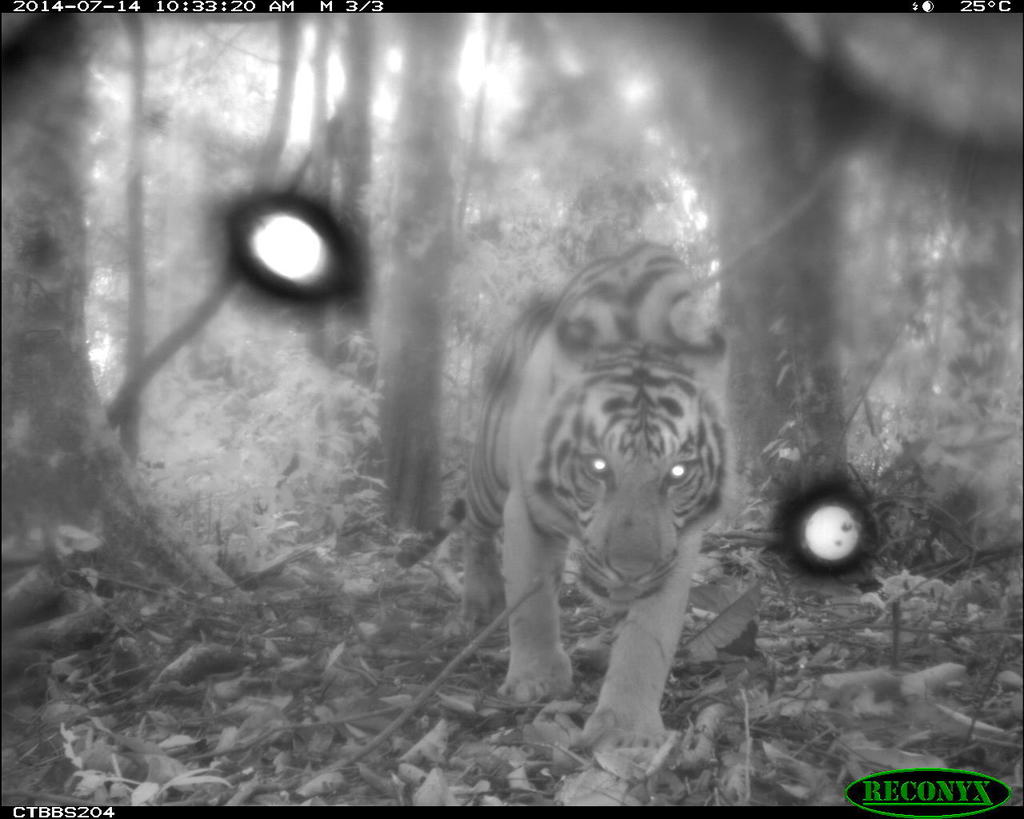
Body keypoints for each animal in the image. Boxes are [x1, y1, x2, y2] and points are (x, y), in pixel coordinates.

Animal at [403, 243, 731, 749]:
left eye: (677, 472)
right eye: (597, 466)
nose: (631, 570)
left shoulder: (682, 541)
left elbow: (650, 633)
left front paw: (628, 728)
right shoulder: (525, 511)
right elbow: (533, 604)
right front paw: (537, 679)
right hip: (489, 480)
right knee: (476, 531)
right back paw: (478, 603)